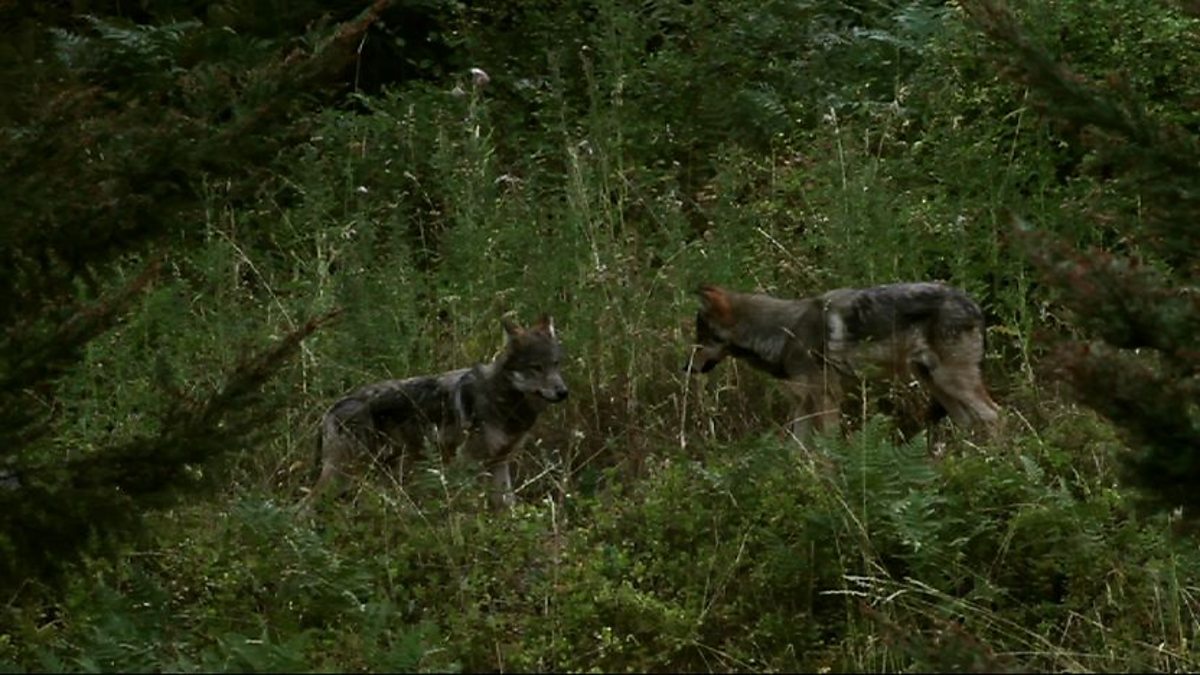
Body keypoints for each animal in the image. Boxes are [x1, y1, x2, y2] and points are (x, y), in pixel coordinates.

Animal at [306, 315, 568, 510]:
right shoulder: (468, 463)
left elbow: (507, 506)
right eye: (536, 367)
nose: (563, 392)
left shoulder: (499, 463)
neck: (503, 400)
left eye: (555, 364)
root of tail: (333, 407)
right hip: (345, 475)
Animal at [684, 282, 1000, 444]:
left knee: (995, 415)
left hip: (951, 382)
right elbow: (797, 449)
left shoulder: (826, 399)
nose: (685, 368)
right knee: (969, 421)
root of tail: (975, 305)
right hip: (935, 384)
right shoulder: (803, 404)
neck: (782, 333)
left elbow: (828, 447)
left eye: (701, 338)